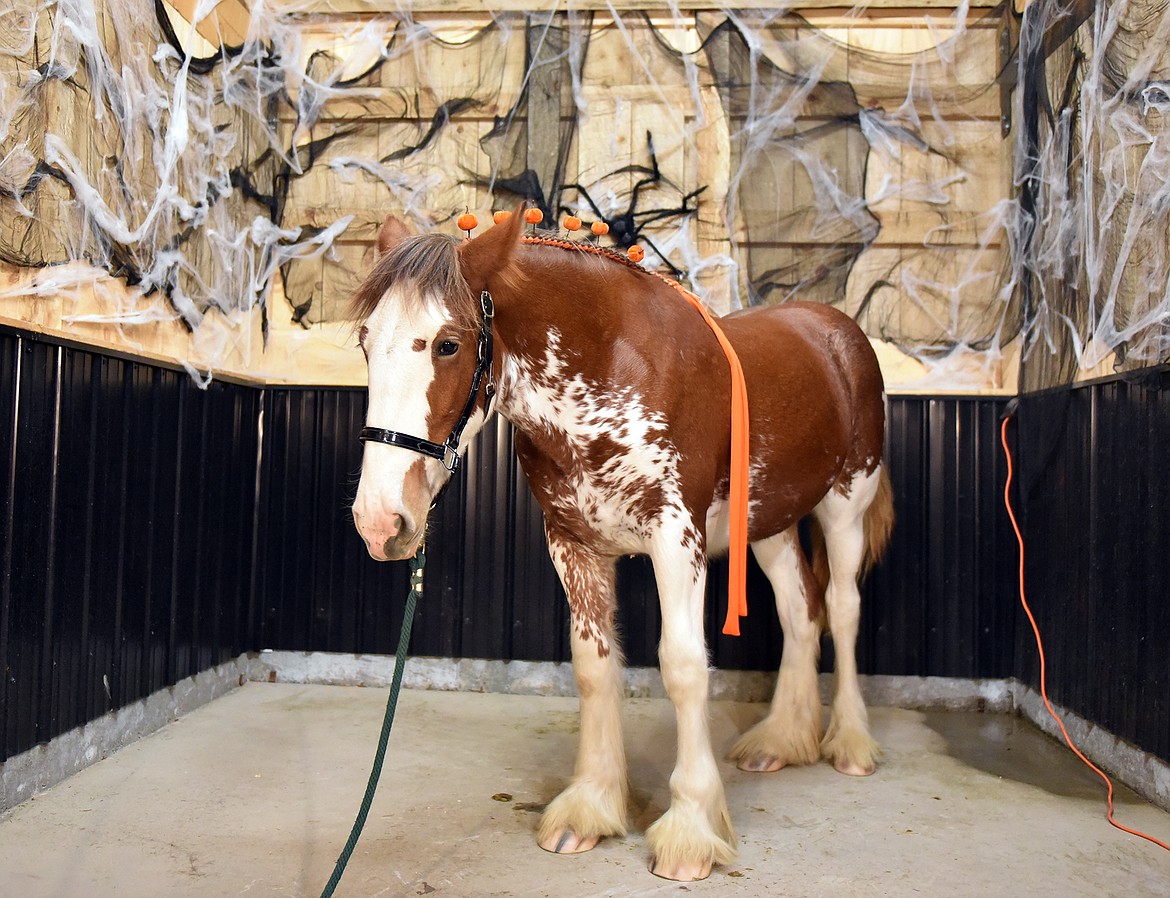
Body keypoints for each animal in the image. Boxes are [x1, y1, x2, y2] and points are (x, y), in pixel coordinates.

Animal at [350, 209, 894, 882]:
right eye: (365, 343)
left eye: (448, 344)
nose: (379, 522)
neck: (613, 366)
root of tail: (836, 330)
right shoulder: (573, 543)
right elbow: (593, 667)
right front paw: (591, 806)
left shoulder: (677, 538)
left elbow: (683, 666)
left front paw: (690, 829)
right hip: (769, 525)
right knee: (801, 612)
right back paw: (782, 739)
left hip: (847, 506)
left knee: (842, 609)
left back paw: (850, 743)